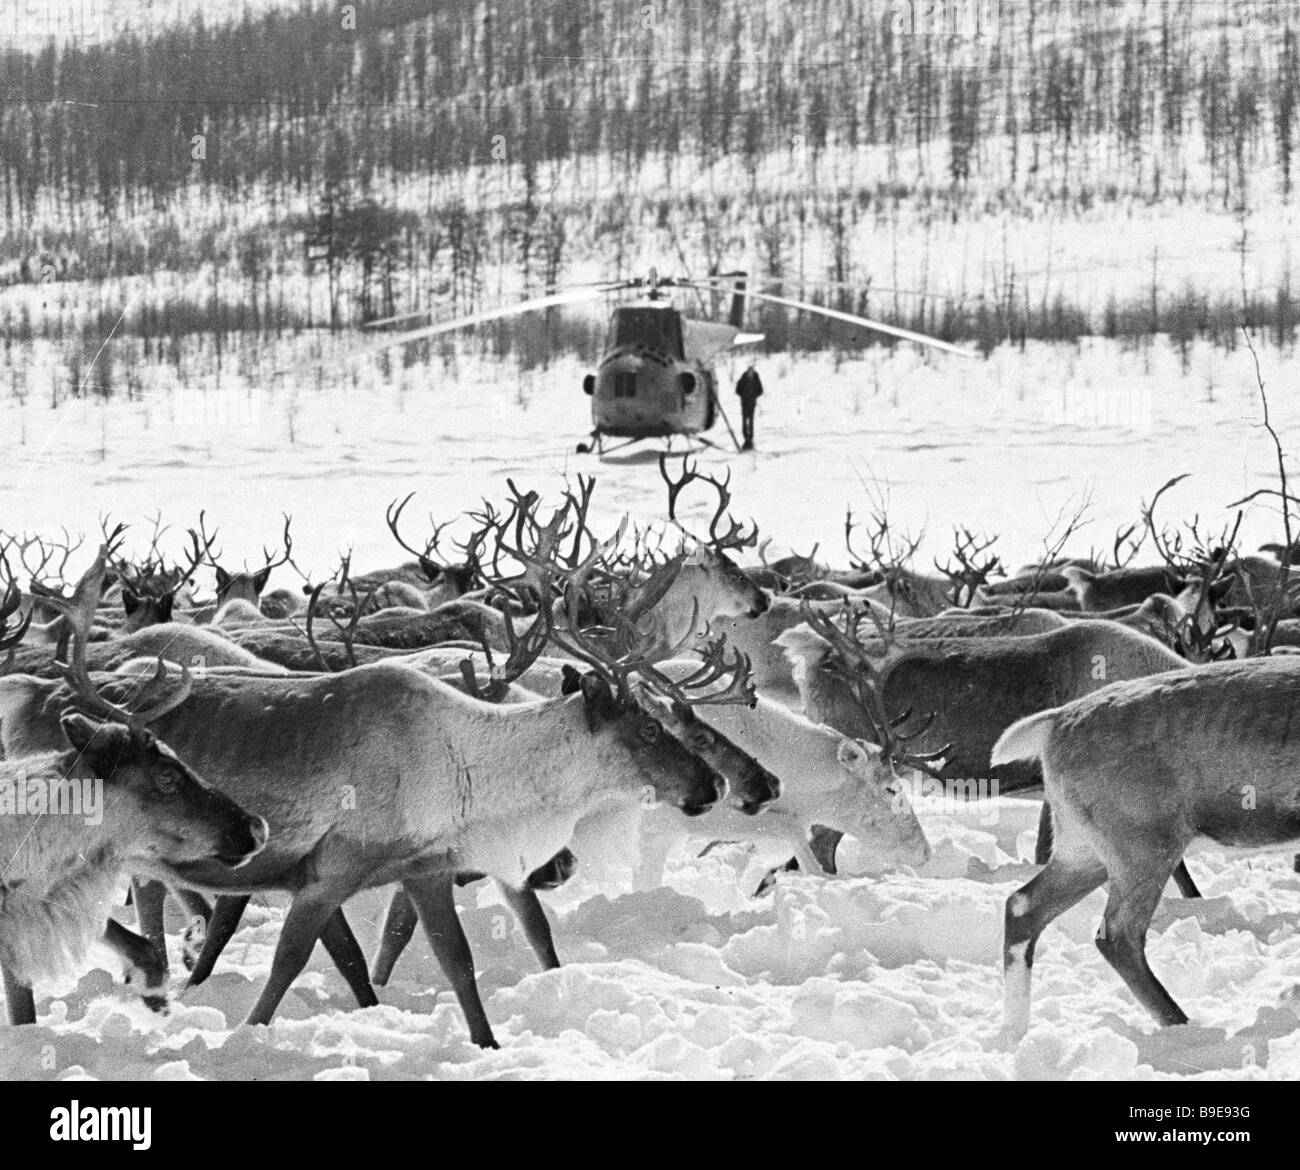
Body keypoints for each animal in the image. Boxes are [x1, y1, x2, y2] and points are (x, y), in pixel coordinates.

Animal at [992, 655, 1300, 1036]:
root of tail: (1055, 723)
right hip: (1145, 844)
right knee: (1117, 933)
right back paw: (1181, 1024)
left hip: (1083, 848)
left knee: (1022, 905)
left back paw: (1015, 1028)